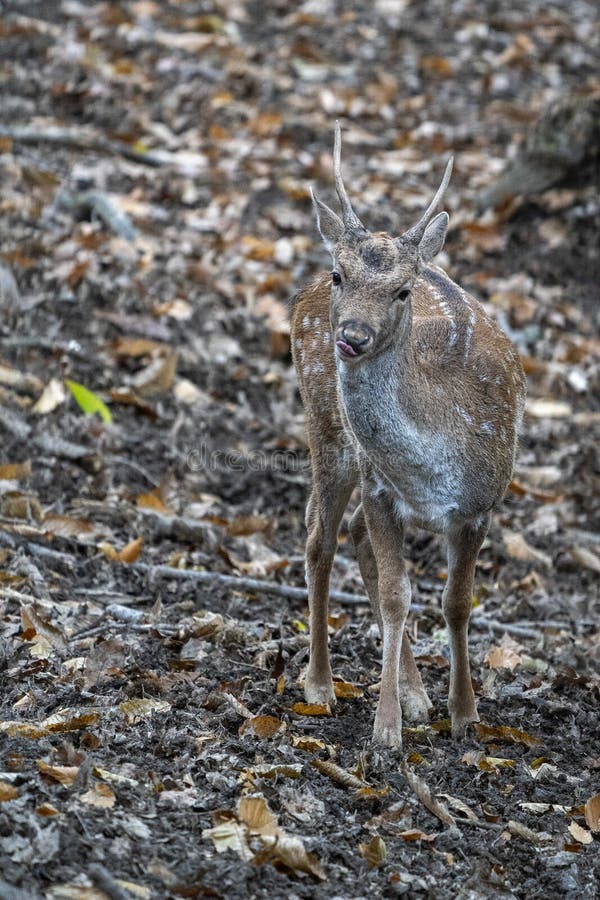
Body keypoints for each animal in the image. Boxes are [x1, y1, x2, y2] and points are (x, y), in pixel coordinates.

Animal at [290, 124, 526, 749]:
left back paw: (418, 694)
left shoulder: (479, 505)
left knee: (348, 533)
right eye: (341, 275)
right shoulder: (381, 489)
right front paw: (386, 730)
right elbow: (400, 597)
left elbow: (457, 602)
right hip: (327, 429)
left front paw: (464, 714)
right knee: (319, 536)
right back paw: (320, 683)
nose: (352, 335)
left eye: (402, 291)